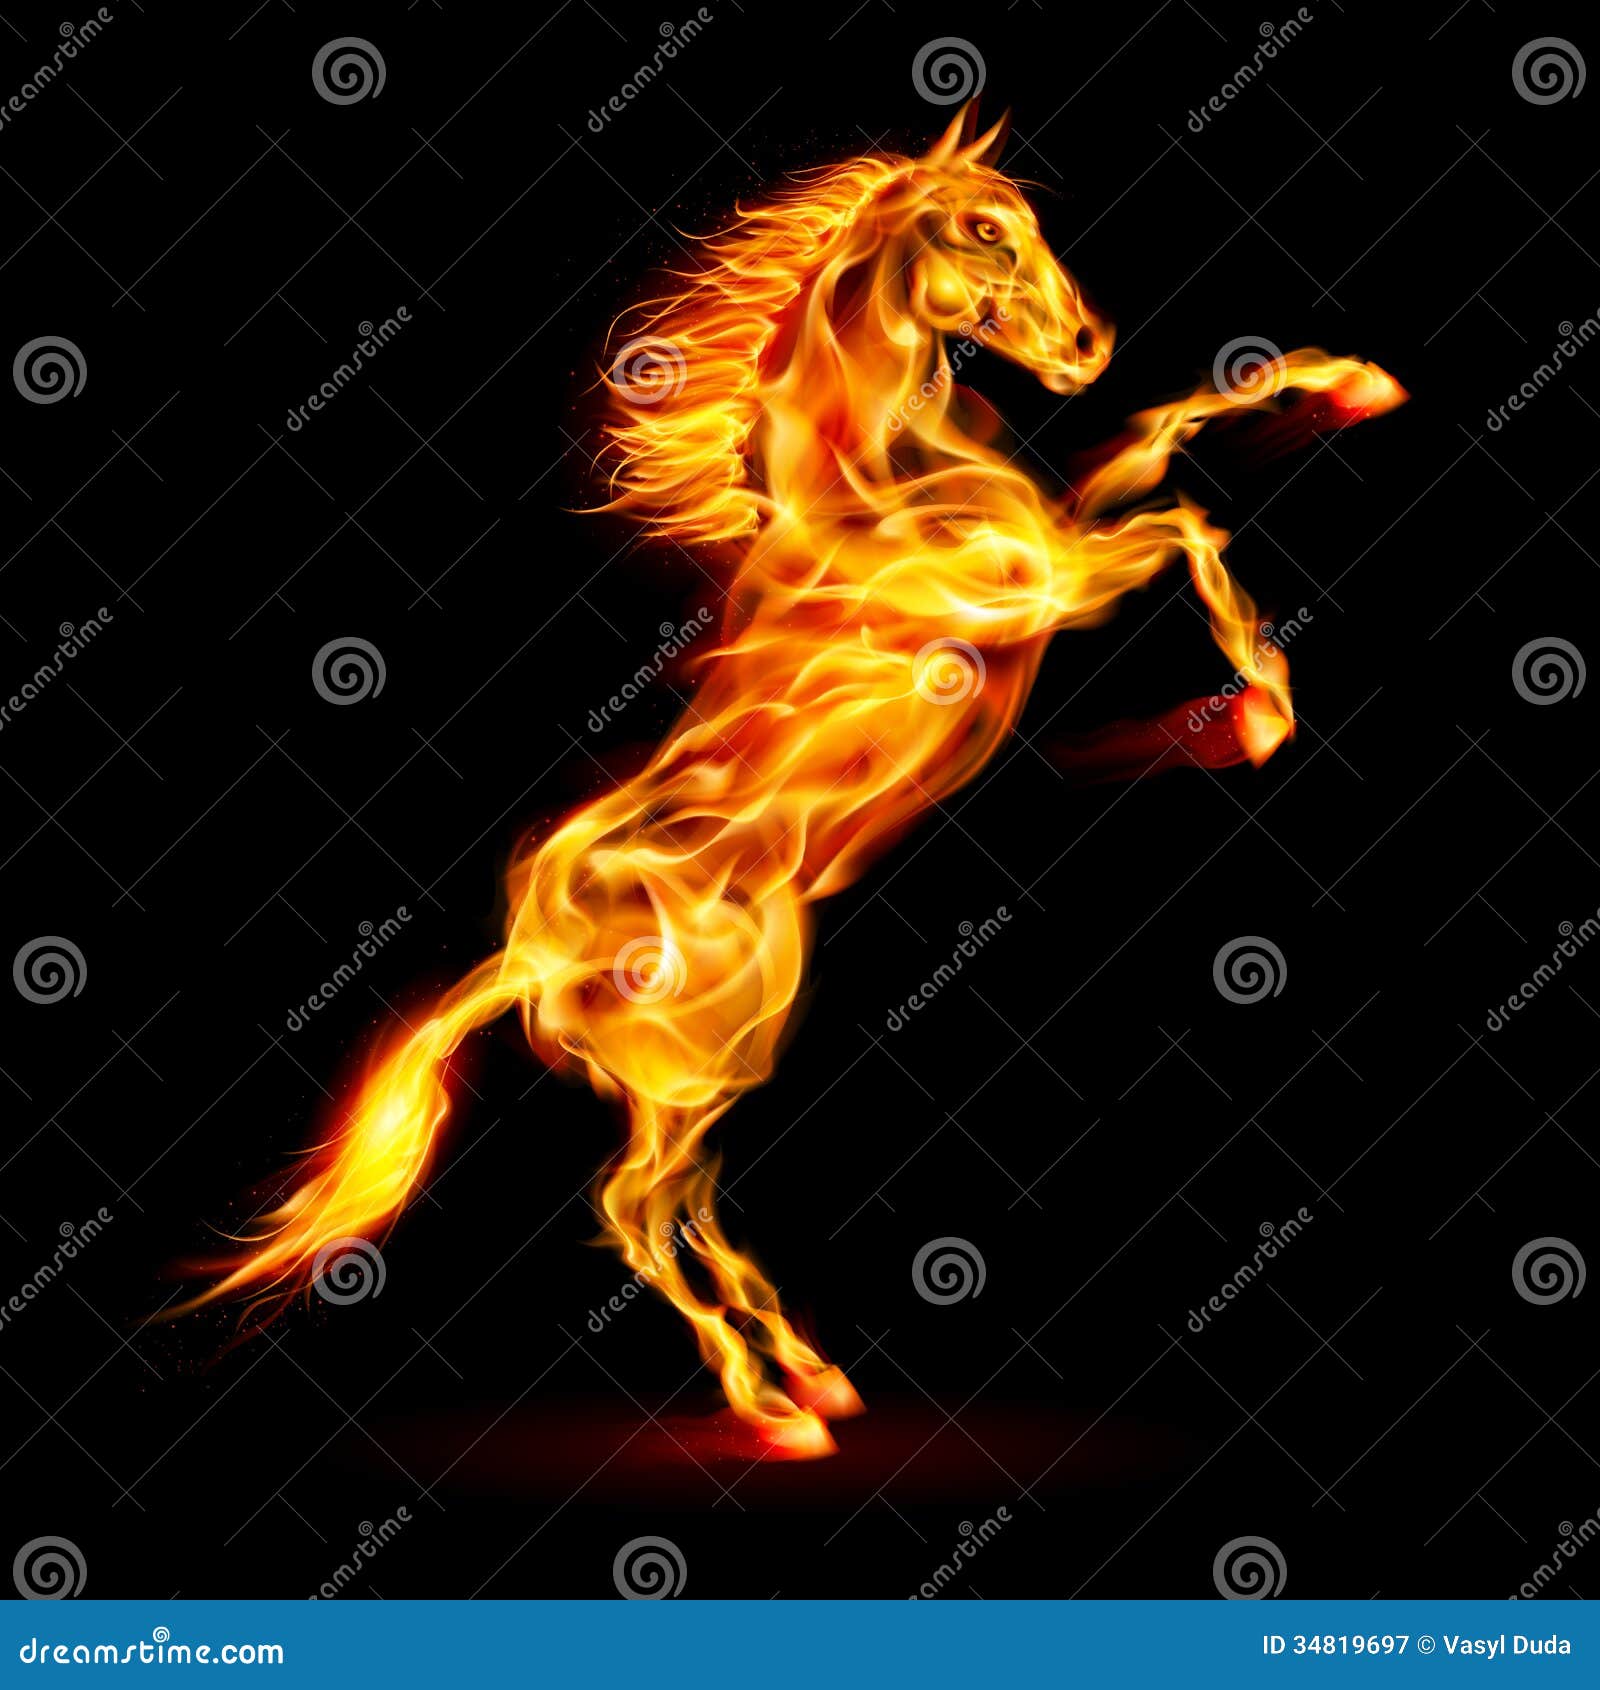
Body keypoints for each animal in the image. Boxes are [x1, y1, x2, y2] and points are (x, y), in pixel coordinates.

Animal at [180, 105, 1403, 1457]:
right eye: (983, 229)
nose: (1085, 347)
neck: (868, 481)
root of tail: (525, 955)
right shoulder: (1045, 588)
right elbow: (1186, 524)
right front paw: (1252, 719)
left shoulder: (1058, 551)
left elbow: (1164, 440)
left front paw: (1355, 386)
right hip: (707, 1051)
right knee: (631, 1204)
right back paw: (772, 1409)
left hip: (706, 1068)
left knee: (678, 1197)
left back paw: (814, 1377)